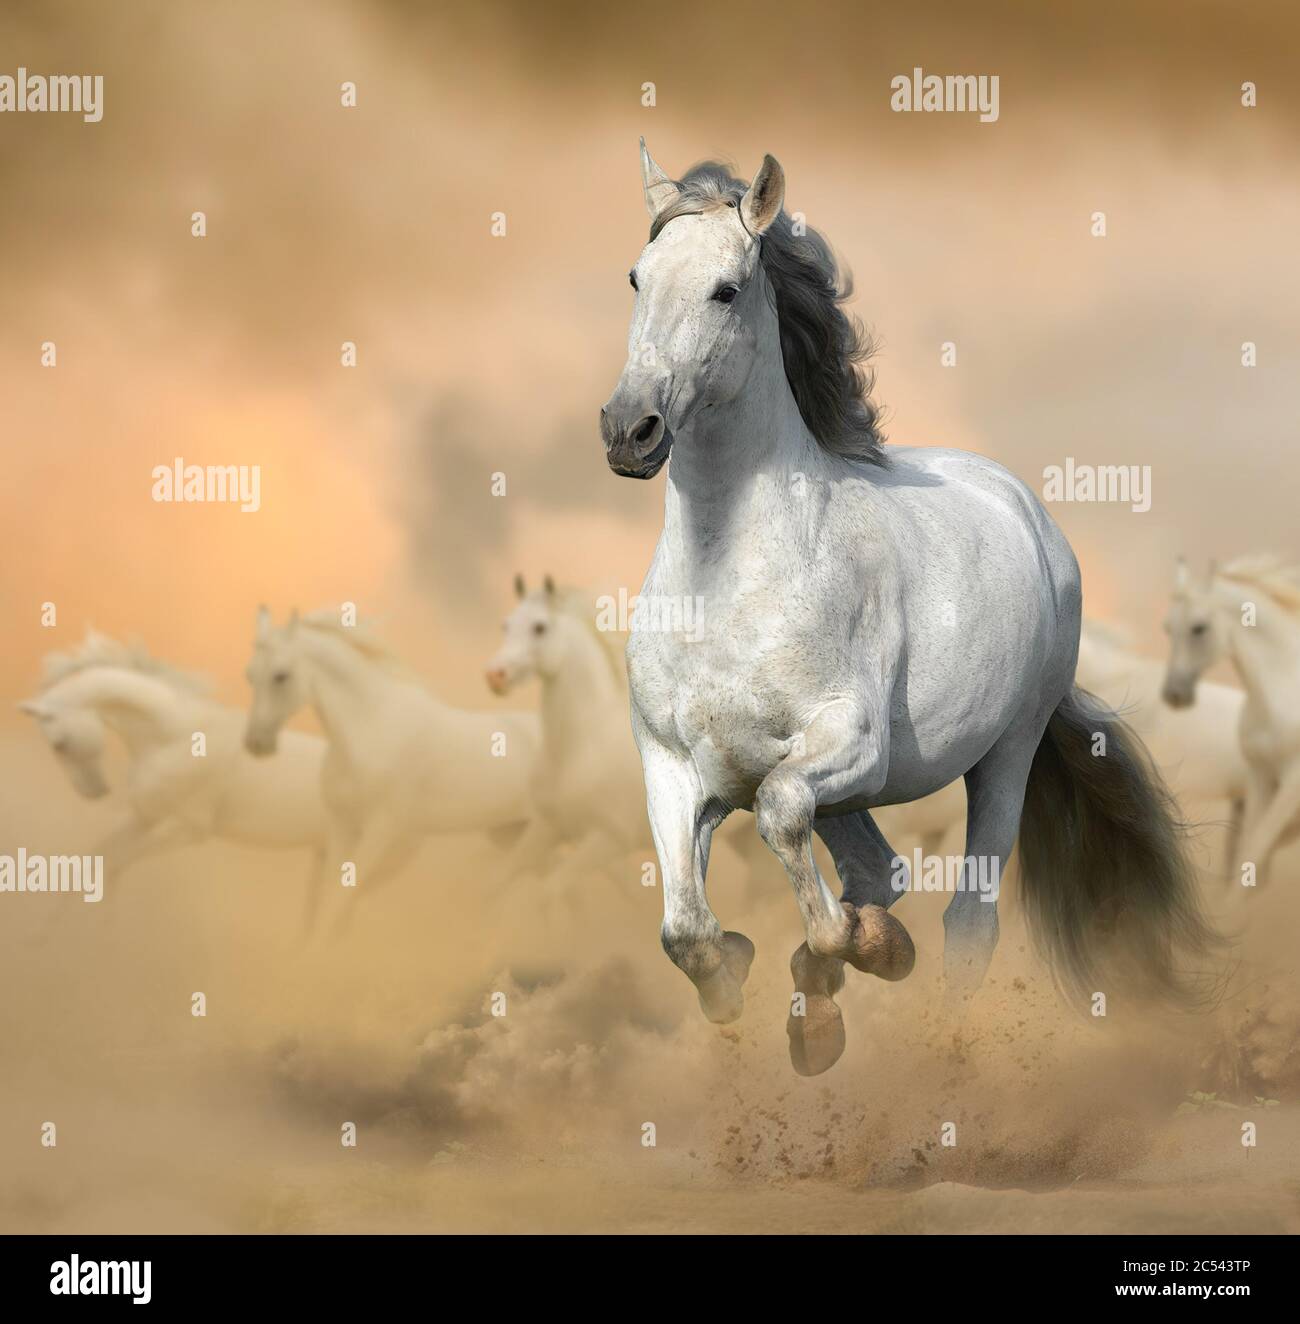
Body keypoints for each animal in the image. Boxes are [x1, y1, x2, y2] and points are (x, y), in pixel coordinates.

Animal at [19, 631, 327, 905]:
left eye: (59, 744)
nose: (95, 792)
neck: (173, 737)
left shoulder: (186, 830)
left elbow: (112, 866)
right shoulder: (144, 817)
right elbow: (97, 862)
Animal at [244, 607, 540, 930]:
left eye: (280, 675)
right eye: (250, 675)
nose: (256, 743)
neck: (371, 726)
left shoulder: (381, 832)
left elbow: (336, 903)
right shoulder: (341, 826)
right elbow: (329, 900)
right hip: (506, 835)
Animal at [601, 143, 1217, 1075]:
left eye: (726, 290)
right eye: (638, 277)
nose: (627, 429)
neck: (727, 583)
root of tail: (1024, 508)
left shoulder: (851, 741)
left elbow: (785, 824)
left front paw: (869, 951)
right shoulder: (675, 768)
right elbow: (687, 931)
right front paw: (755, 981)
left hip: (1005, 753)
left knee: (967, 919)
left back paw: (936, 1050)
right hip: (853, 790)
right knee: (874, 871)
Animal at [1163, 556, 1300, 886]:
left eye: (1199, 628)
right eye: (1168, 629)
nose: (1173, 694)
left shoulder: (1292, 786)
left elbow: (1253, 856)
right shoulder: (1260, 780)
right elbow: (1247, 861)